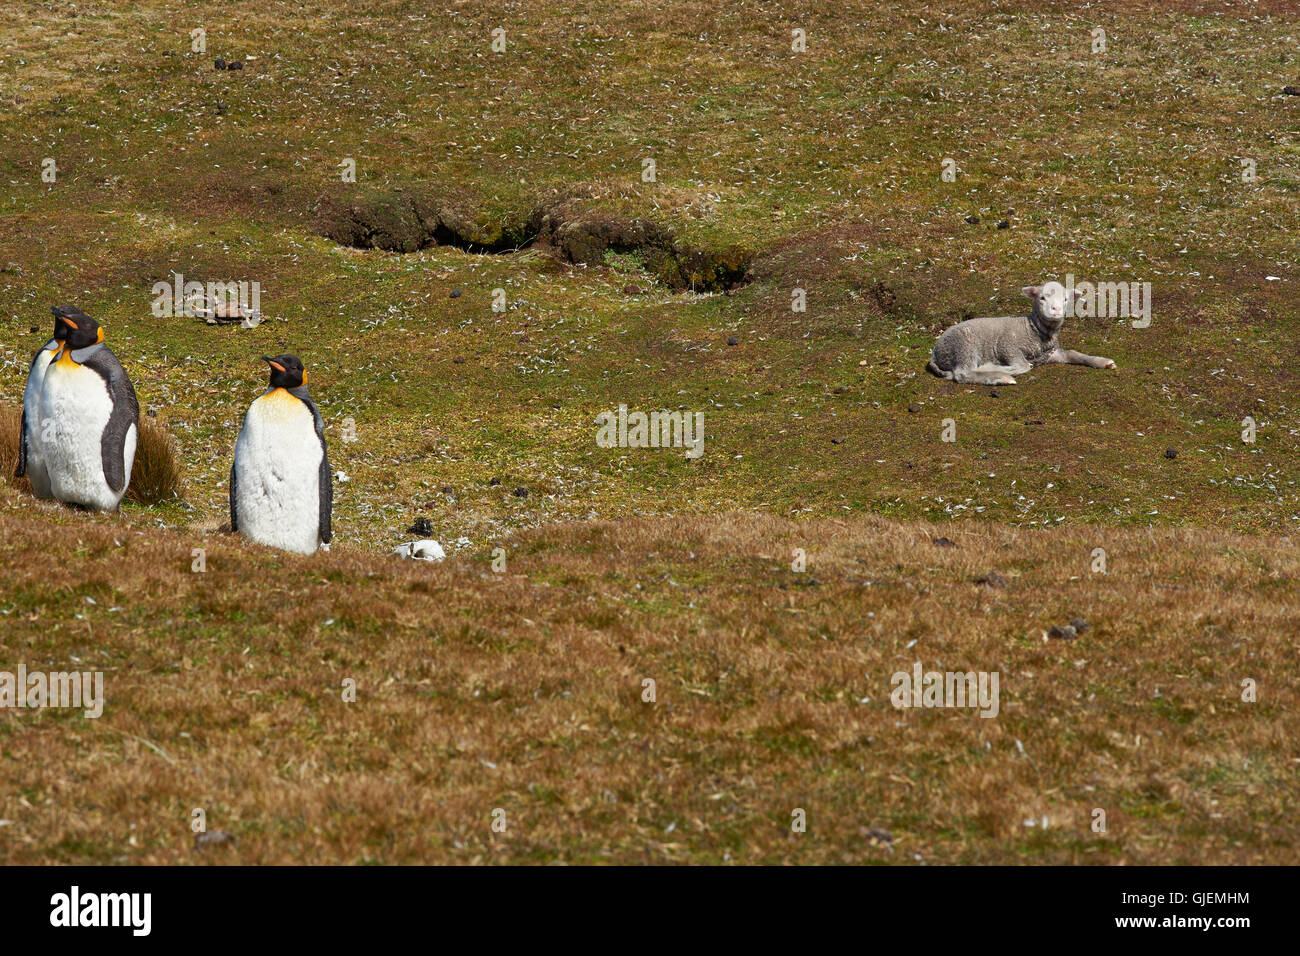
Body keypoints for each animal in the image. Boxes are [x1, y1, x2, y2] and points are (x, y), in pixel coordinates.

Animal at [926, 281, 1116, 386]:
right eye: (1042, 298)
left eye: (1065, 299)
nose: (1056, 310)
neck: (1034, 329)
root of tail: (935, 353)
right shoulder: (1007, 346)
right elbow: (1024, 366)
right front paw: (998, 368)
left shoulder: (1051, 353)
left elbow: (1073, 353)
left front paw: (1103, 362)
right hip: (964, 346)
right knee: (963, 373)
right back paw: (1000, 377)